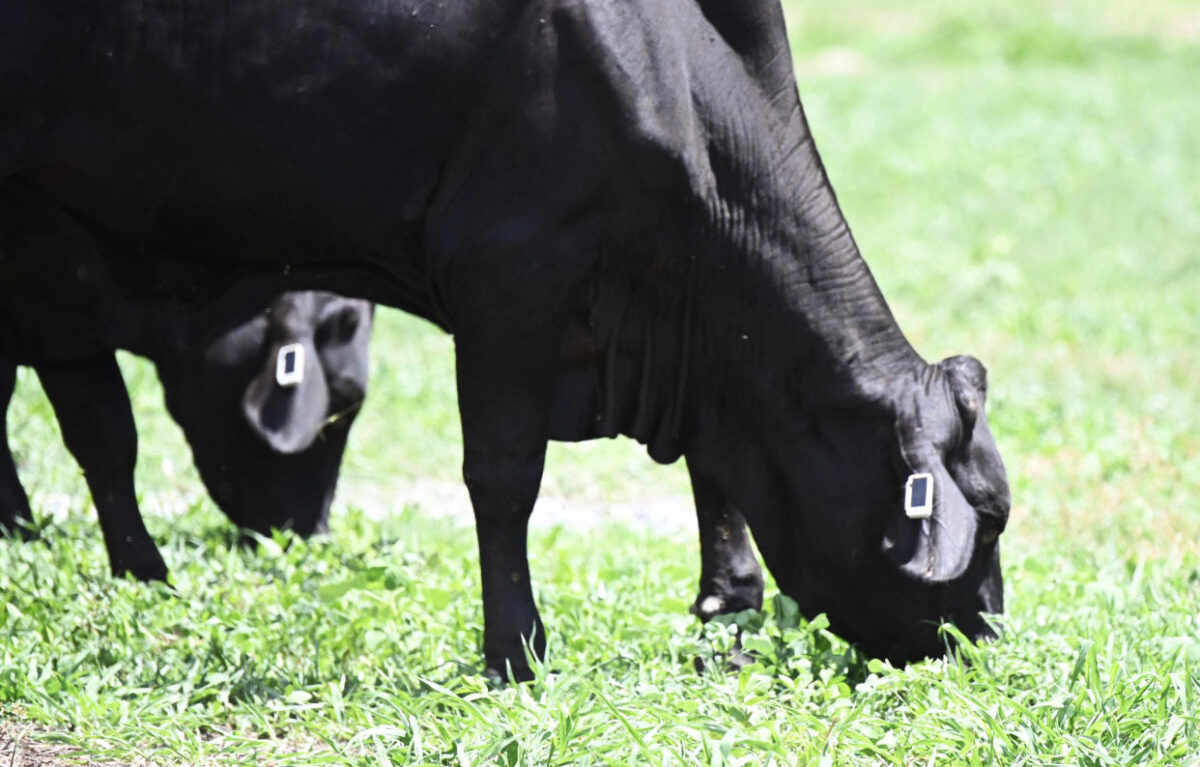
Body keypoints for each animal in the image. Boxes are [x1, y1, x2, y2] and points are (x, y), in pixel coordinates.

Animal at [0, 285, 373, 582]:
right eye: (341, 407)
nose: (316, 534)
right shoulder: (58, 322)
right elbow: (107, 440)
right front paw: (144, 570)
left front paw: (18, 528)